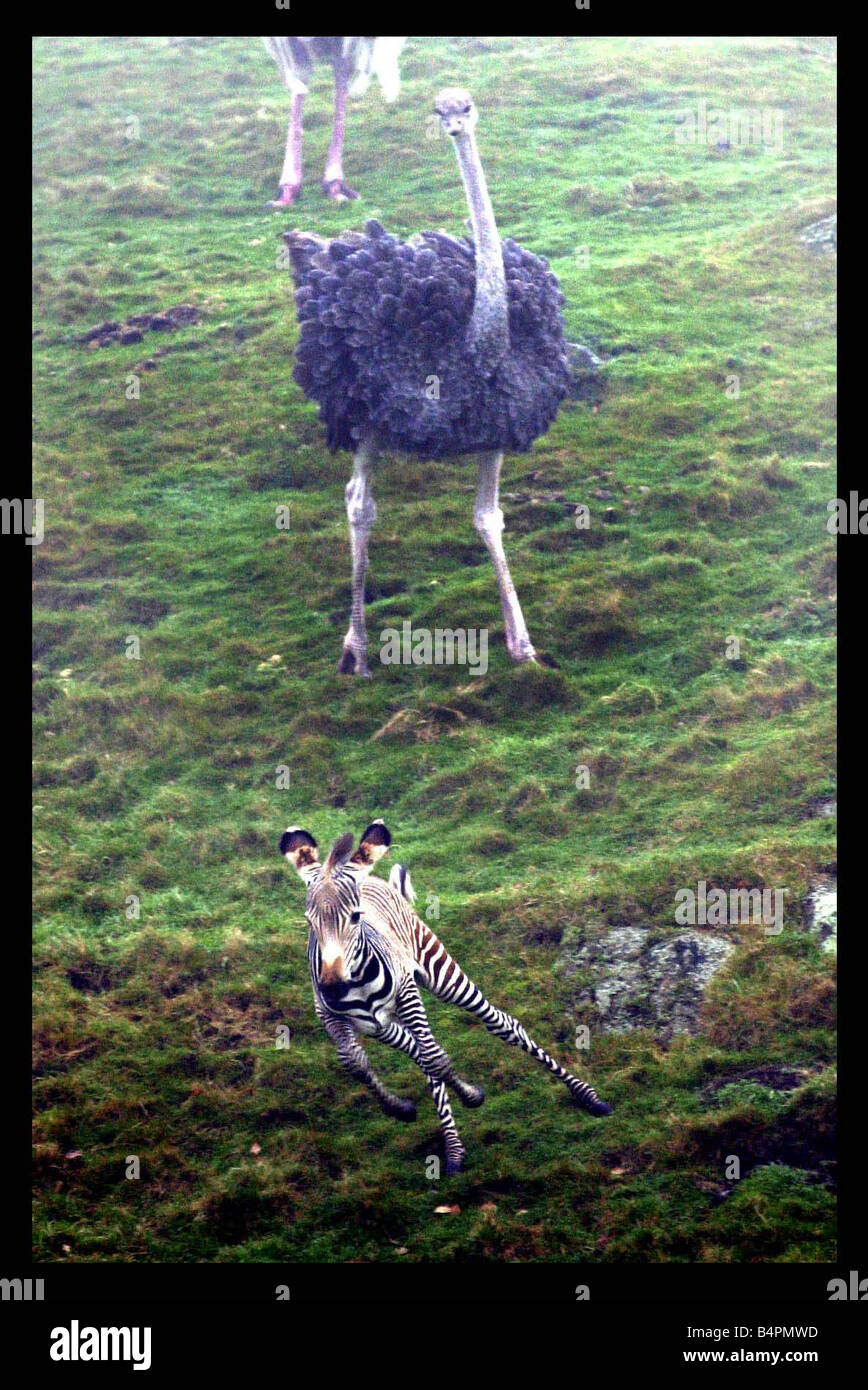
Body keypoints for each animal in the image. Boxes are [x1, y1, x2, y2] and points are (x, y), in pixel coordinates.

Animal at [280, 819, 613, 1174]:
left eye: (356, 917)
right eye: (309, 921)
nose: (331, 985)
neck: (355, 979)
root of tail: (375, 880)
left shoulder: (407, 991)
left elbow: (436, 1058)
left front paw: (471, 1097)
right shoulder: (330, 1015)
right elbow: (356, 1063)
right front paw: (400, 1108)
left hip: (441, 976)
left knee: (500, 1025)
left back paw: (588, 1097)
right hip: (382, 1024)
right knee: (419, 1051)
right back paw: (453, 1149)